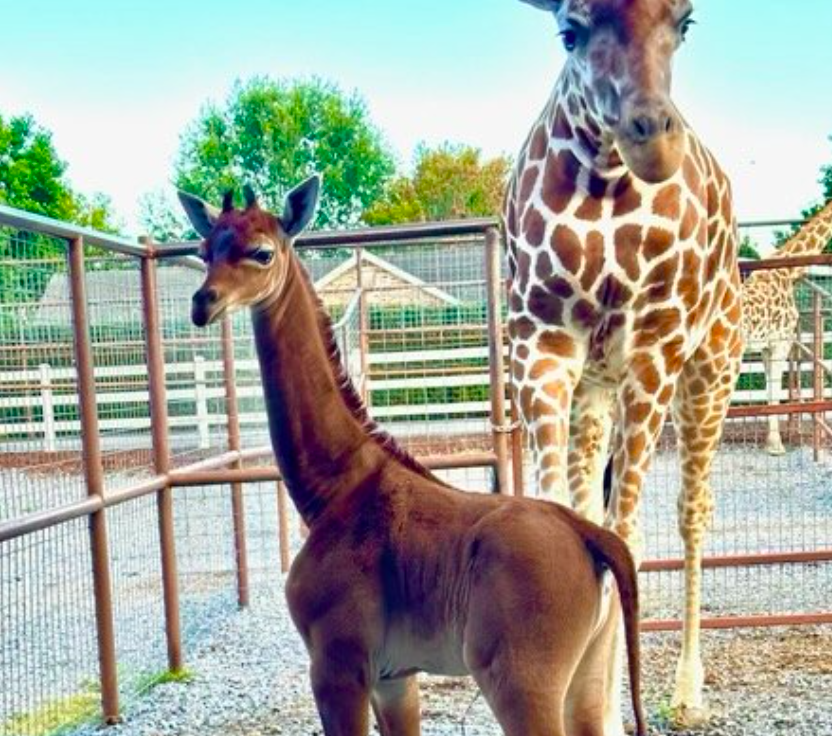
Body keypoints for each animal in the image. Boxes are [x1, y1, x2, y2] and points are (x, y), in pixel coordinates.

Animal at [179, 177, 647, 736]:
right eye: (204, 249)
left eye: (262, 252)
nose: (203, 303)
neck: (335, 489)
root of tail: (591, 536)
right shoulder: (394, 677)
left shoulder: (338, 667)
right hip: (589, 678)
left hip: (522, 683)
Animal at [504, 0, 743, 729]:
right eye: (569, 31)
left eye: (685, 22)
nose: (652, 140)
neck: (605, 183)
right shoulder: (540, 344)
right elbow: (565, 520)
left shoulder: (654, 349)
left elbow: (625, 536)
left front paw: (606, 713)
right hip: (595, 388)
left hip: (711, 369)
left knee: (693, 510)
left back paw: (688, 692)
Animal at [742, 198, 832, 455]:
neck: (787, 271)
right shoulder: (781, 342)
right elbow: (774, 390)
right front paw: (775, 445)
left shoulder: (766, 346)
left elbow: (771, 389)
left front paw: (771, 443)